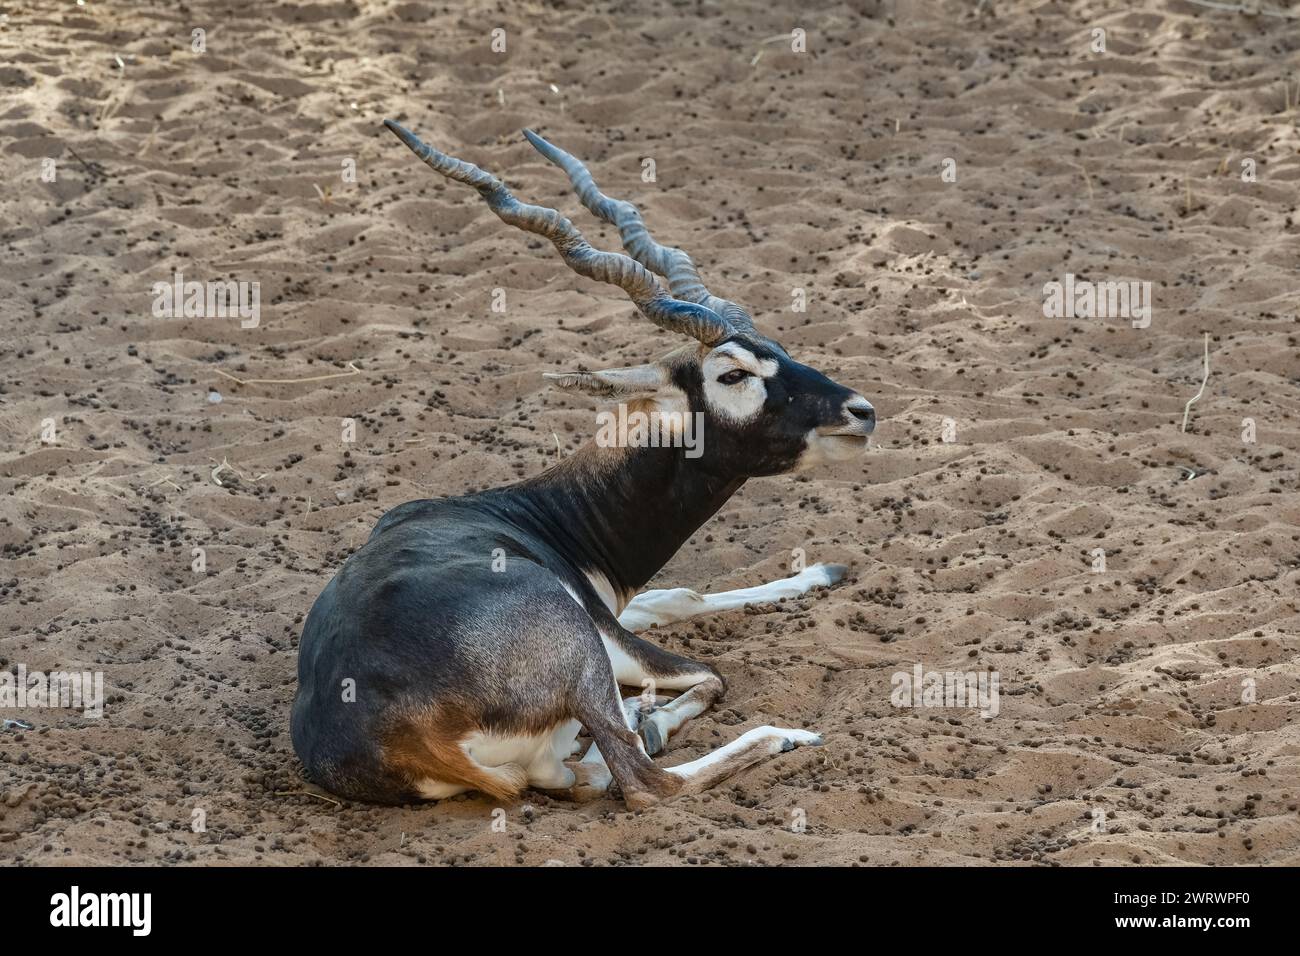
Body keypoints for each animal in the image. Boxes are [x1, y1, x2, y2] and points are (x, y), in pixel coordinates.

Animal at [289, 121, 876, 809]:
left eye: (779, 350)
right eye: (732, 374)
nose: (861, 411)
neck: (541, 516)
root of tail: (406, 733)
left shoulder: (618, 609)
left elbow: (681, 594)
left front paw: (823, 572)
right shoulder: (605, 629)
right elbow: (707, 671)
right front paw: (657, 718)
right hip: (586, 652)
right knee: (645, 780)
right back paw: (761, 734)